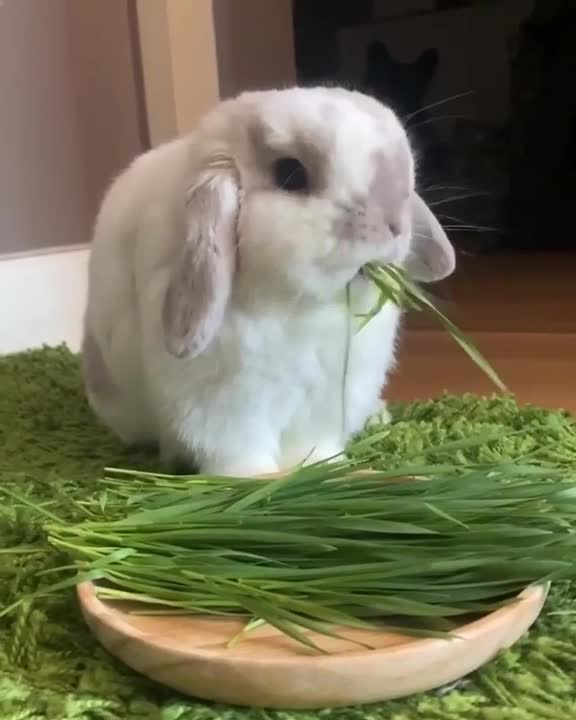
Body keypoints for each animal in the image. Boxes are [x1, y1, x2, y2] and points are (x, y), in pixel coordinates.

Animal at [82, 87, 455, 477]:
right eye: (291, 174)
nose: (395, 224)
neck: (299, 308)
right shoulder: (221, 406)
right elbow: (238, 452)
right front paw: (259, 478)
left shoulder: (325, 400)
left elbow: (312, 445)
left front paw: (319, 467)